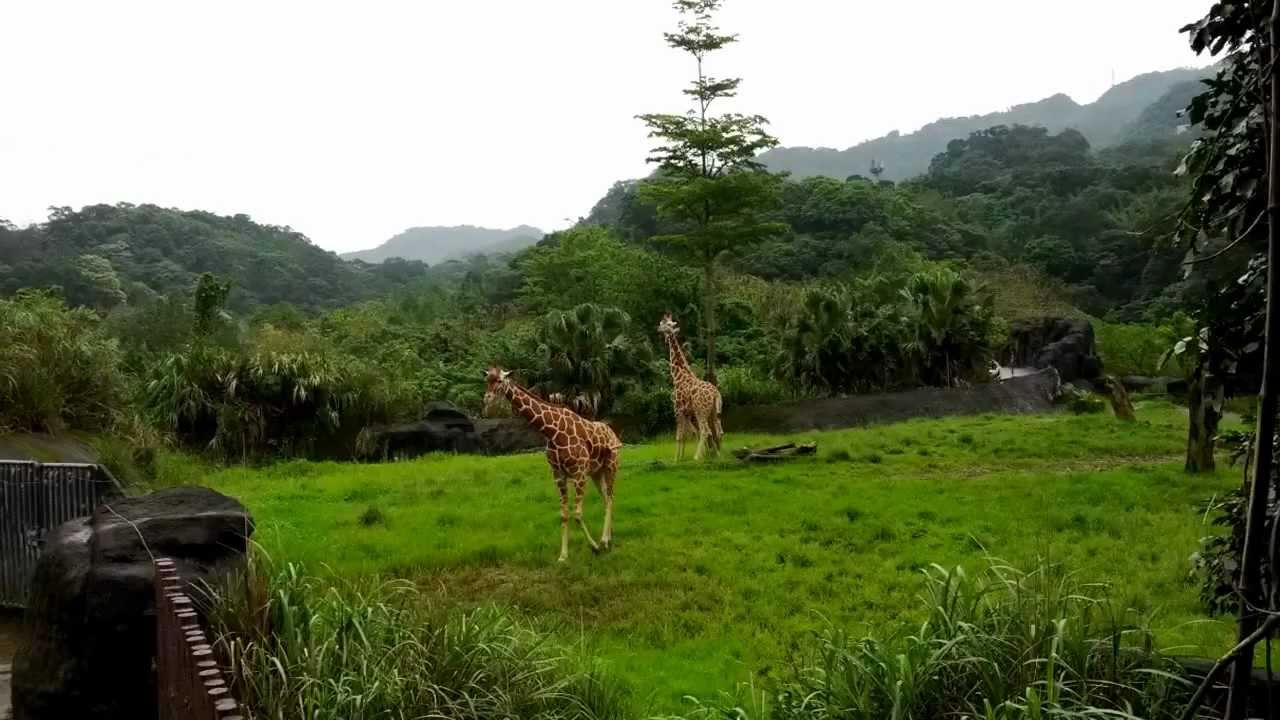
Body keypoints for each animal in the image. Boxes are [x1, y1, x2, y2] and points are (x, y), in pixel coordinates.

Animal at [483, 367, 620, 562]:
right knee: (607, 498)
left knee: (610, 497)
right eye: (487, 380)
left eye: (500, 381)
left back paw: (604, 542)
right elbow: (564, 515)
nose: (487, 399)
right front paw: (563, 556)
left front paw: (594, 547)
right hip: (596, 472)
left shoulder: (579, 473)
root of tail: (612, 431)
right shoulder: (559, 475)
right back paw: (607, 538)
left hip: (611, 466)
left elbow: (577, 514)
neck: (551, 431)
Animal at [657, 313, 723, 461]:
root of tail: (715, 393)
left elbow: (679, 435)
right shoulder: (687, 411)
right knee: (716, 431)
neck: (677, 376)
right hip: (712, 411)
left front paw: (676, 459)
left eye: (665, 323)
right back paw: (716, 454)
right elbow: (687, 435)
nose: (658, 328)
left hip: (701, 410)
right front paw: (681, 457)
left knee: (706, 431)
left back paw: (697, 457)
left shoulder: (677, 409)